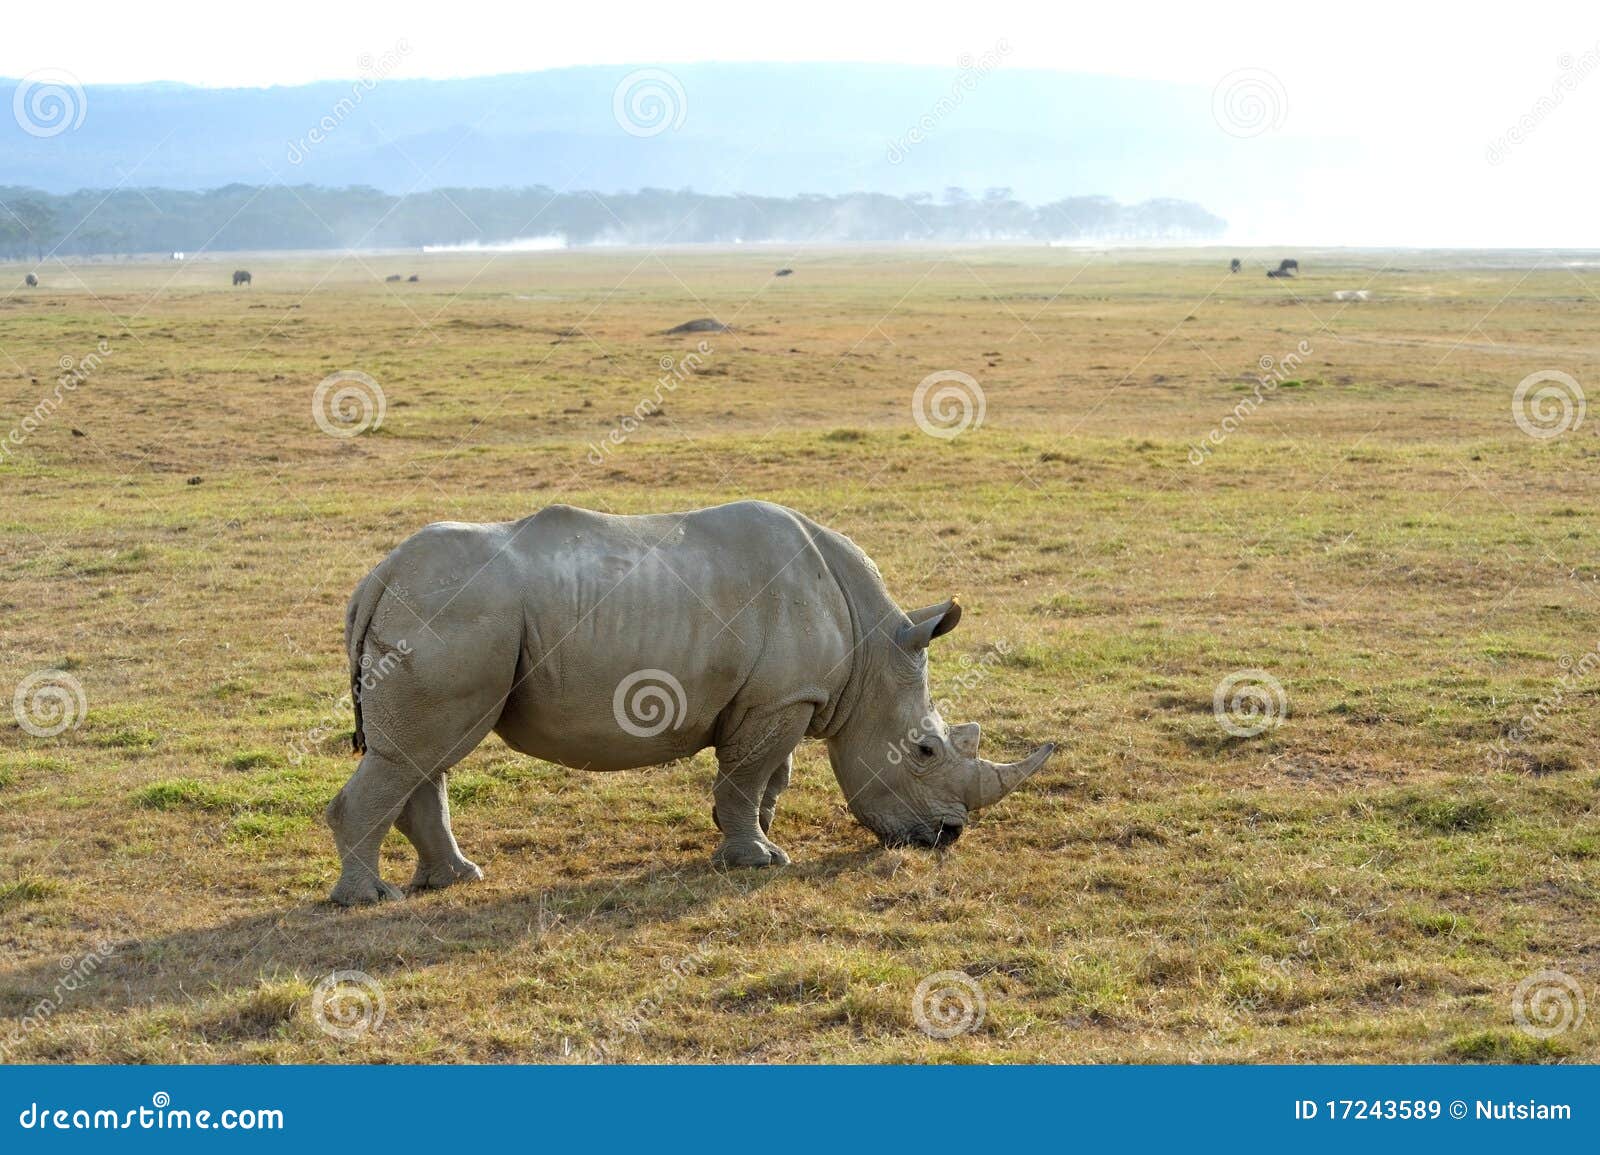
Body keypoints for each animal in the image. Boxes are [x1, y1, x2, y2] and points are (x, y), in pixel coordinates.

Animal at [325, 500, 1055, 905]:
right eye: (925, 750)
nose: (947, 837)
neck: (873, 651)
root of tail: (379, 576)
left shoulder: (779, 695)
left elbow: (770, 776)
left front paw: (756, 835)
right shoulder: (780, 698)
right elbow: (747, 774)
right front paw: (757, 859)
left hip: (449, 614)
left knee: (423, 756)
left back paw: (457, 879)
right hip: (453, 612)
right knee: (418, 755)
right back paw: (372, 900)